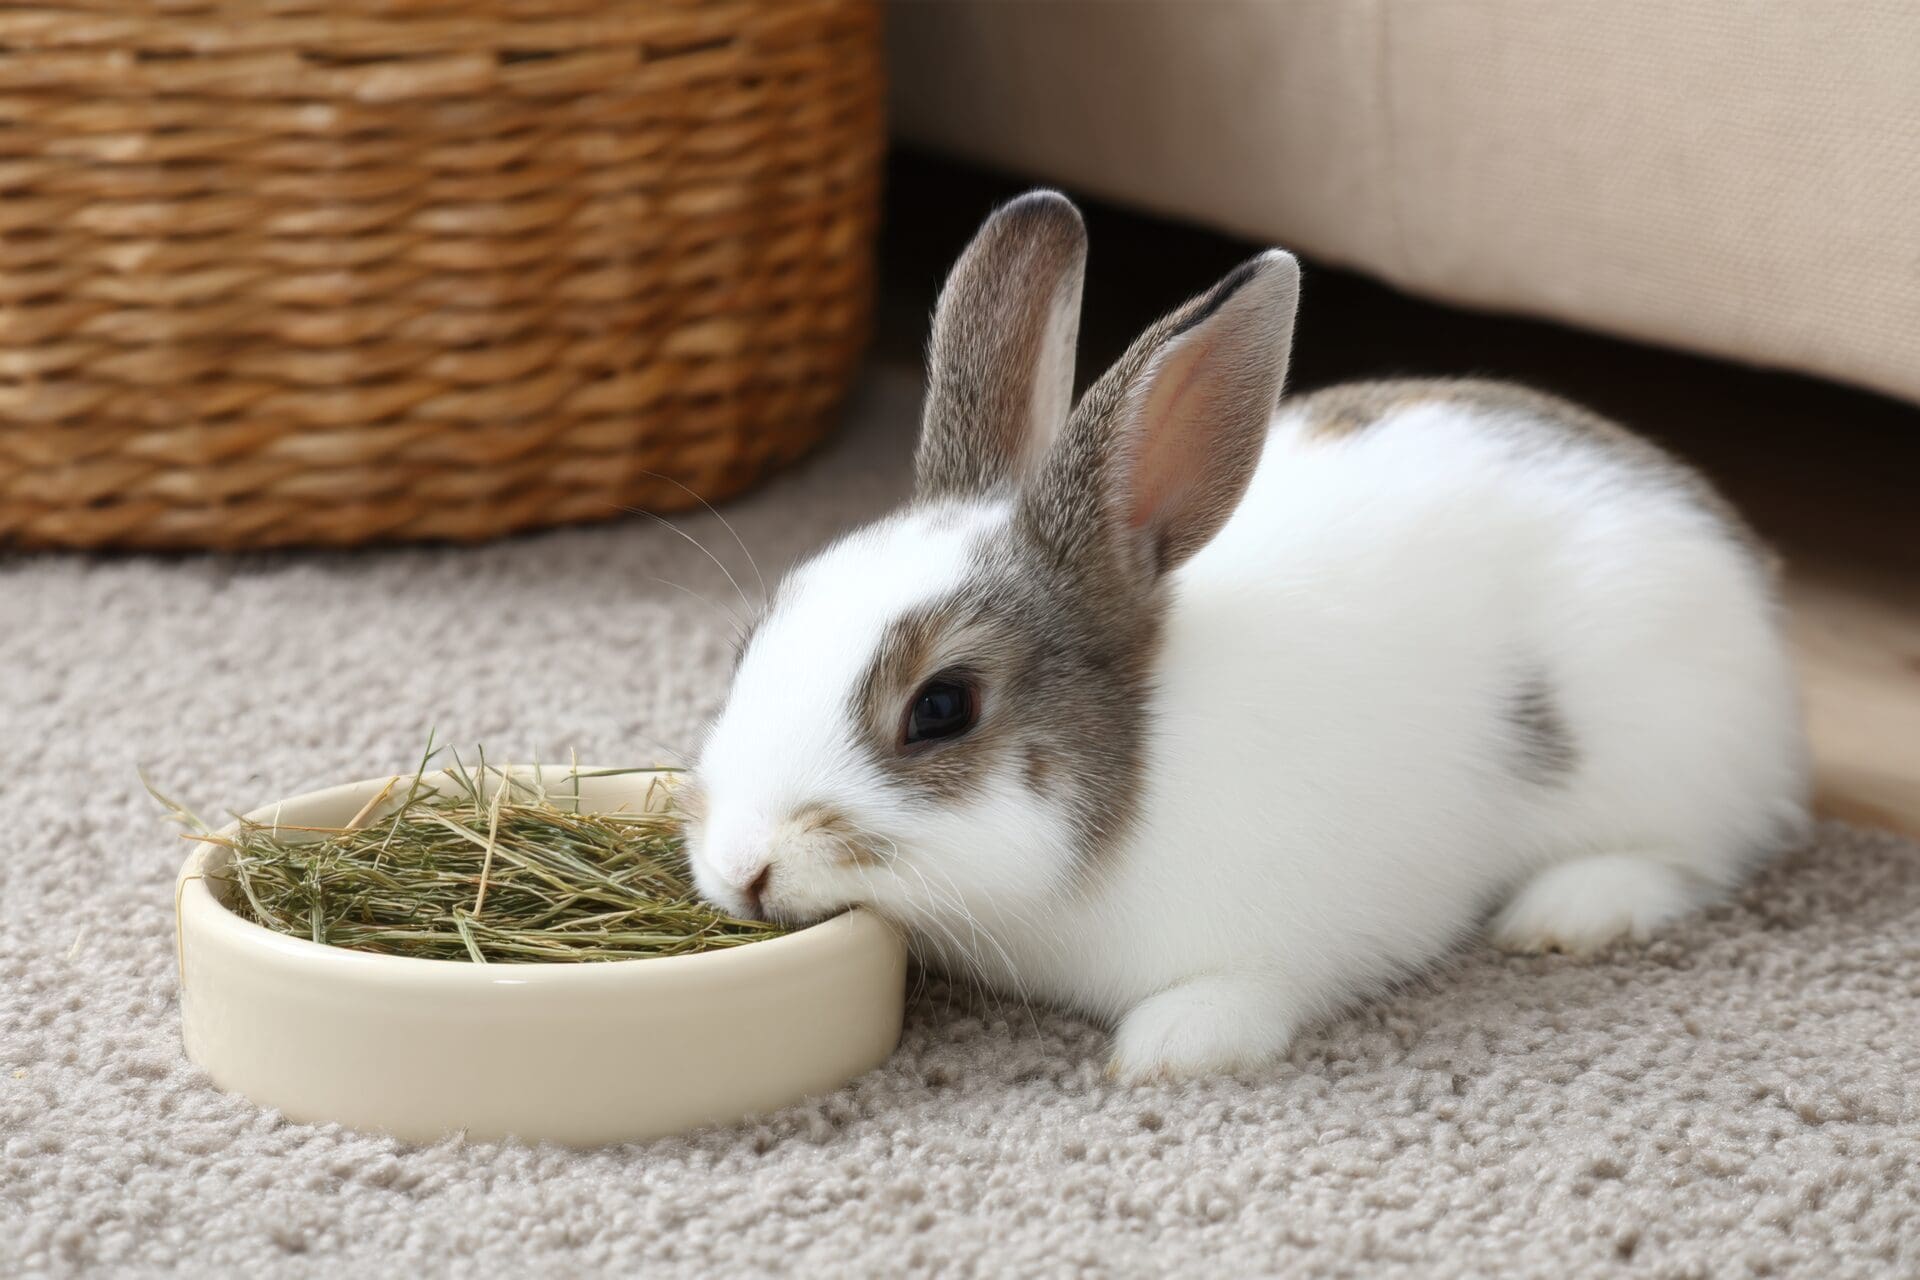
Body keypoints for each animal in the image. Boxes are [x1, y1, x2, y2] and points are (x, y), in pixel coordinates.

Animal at [682, 190, 1811, 1082]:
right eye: (753, 643)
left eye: (943, 708)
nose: (741, 866)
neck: (1136, 773)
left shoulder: (1293, 940)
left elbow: (1246, 994)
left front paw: (1167, 1050)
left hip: (1668, 757)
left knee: (1697, 853)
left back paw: (1570, 911)